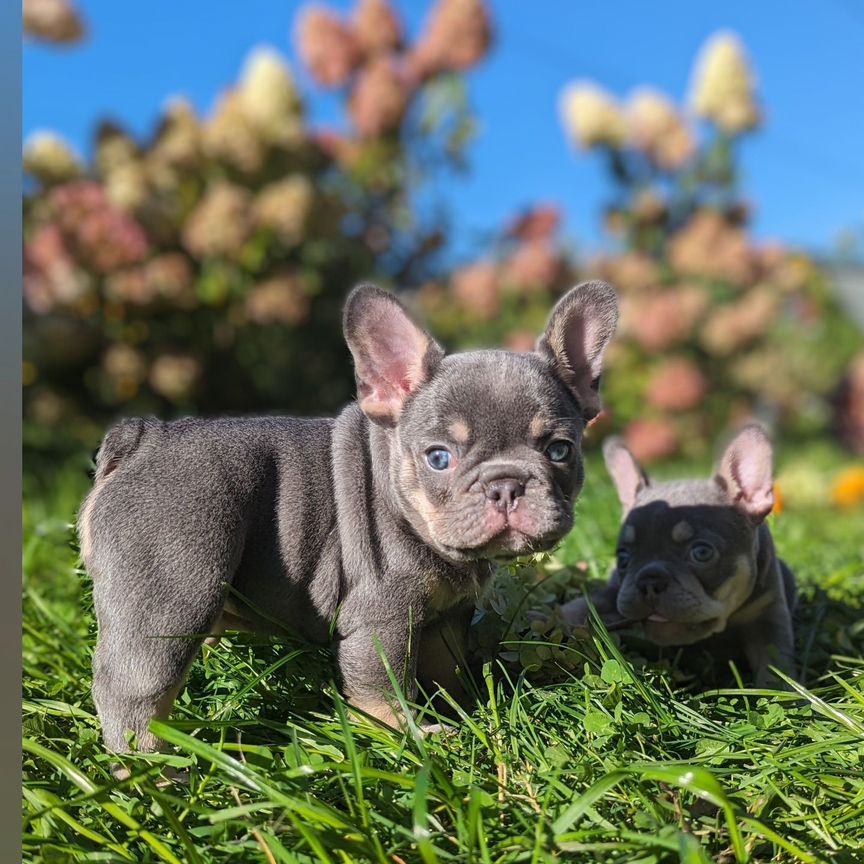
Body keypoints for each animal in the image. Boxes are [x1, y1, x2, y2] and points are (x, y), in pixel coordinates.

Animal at [77, 280, 616, 752]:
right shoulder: (381, 618)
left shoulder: (446, 616)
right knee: (132, 692)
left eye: (560, 450)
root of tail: (143, 437)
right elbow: (385, 689)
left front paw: (467, 711)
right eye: (439, 457)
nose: (506, 485)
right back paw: (156, 772)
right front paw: (410, 736)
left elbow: (449, 667)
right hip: (172, 592)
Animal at [560, 426, 796, 688]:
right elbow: (581, 606)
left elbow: (774, 663)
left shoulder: (768, 615)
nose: (649, 581)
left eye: (701, 553)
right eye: (622, 558)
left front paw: (777, 691)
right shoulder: (613, 594)